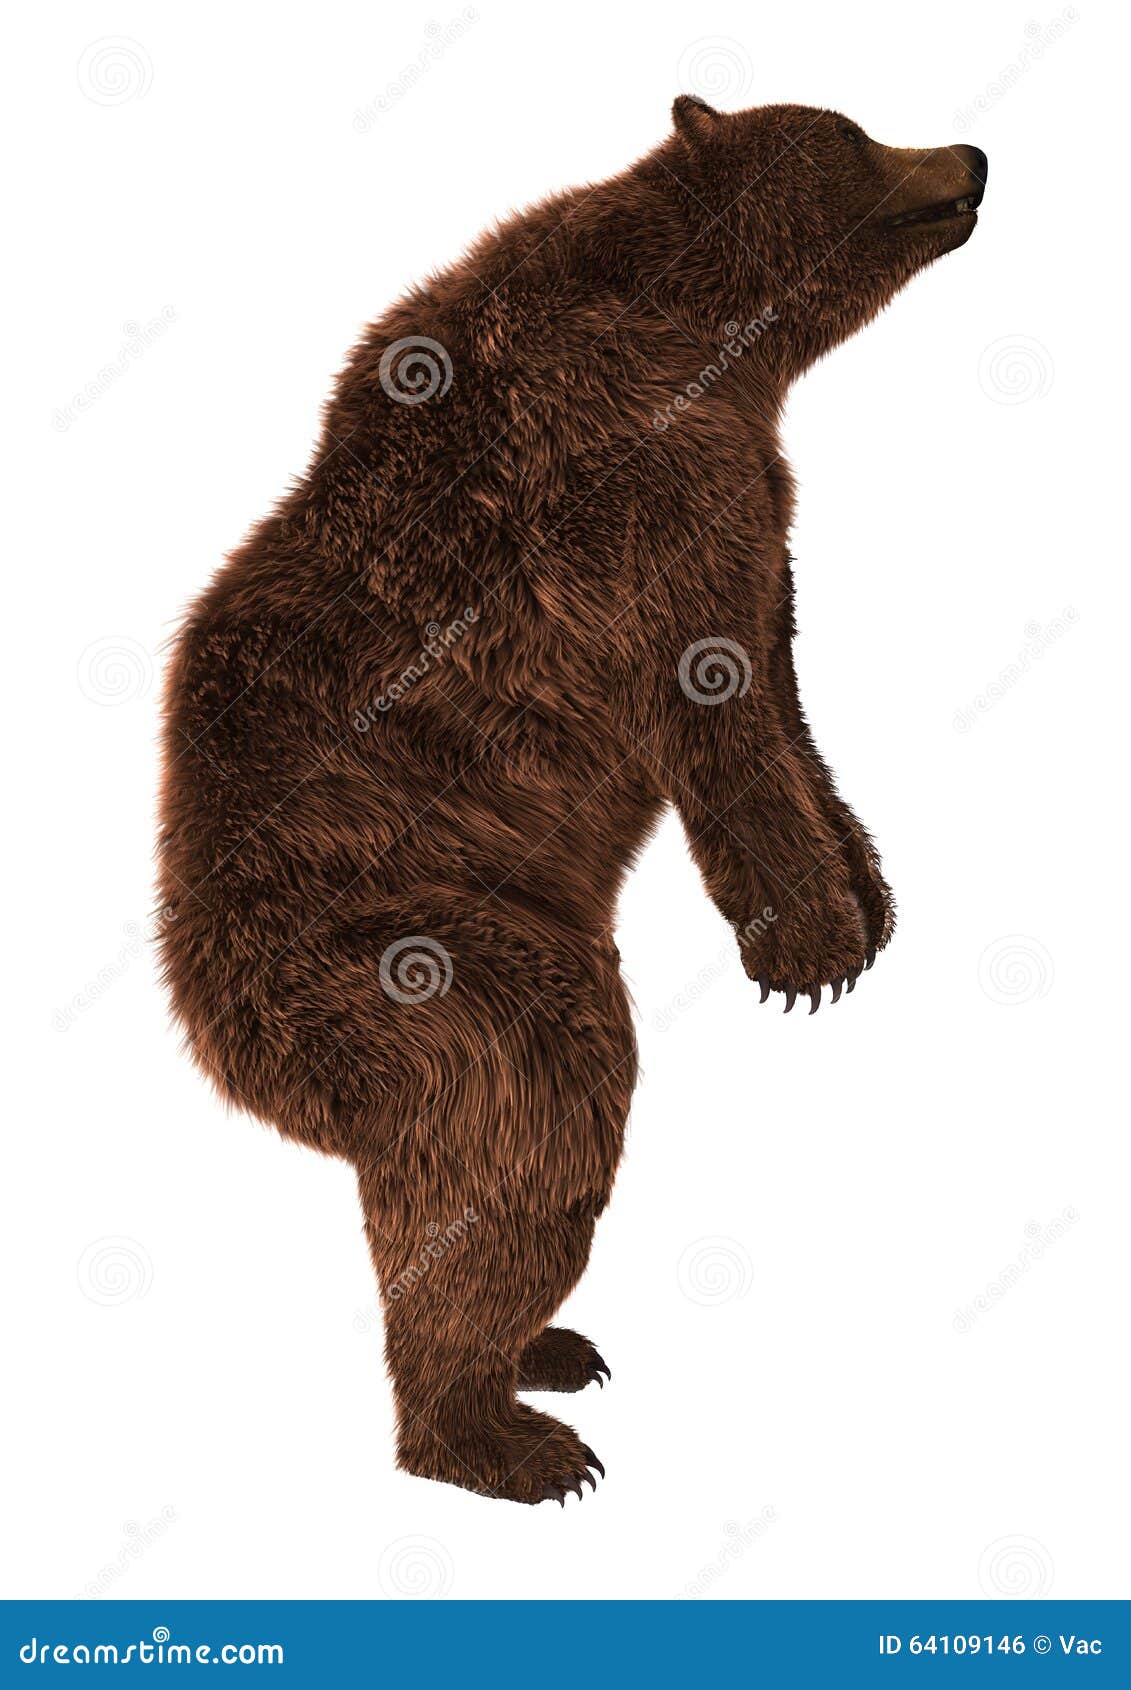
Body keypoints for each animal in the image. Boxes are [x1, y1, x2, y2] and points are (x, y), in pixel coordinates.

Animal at [157, 98, 987, 1503]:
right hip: (408, 955)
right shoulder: (633, 508)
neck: (717, 343)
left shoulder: (752, 504)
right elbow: (717, 718)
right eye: (854, 133)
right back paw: (499, 1436)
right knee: (538, 1108)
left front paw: (867, 901)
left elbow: (783, 691)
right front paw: (812, 943)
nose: (972, 159)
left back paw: (542, 1354)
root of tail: (218, 1034)